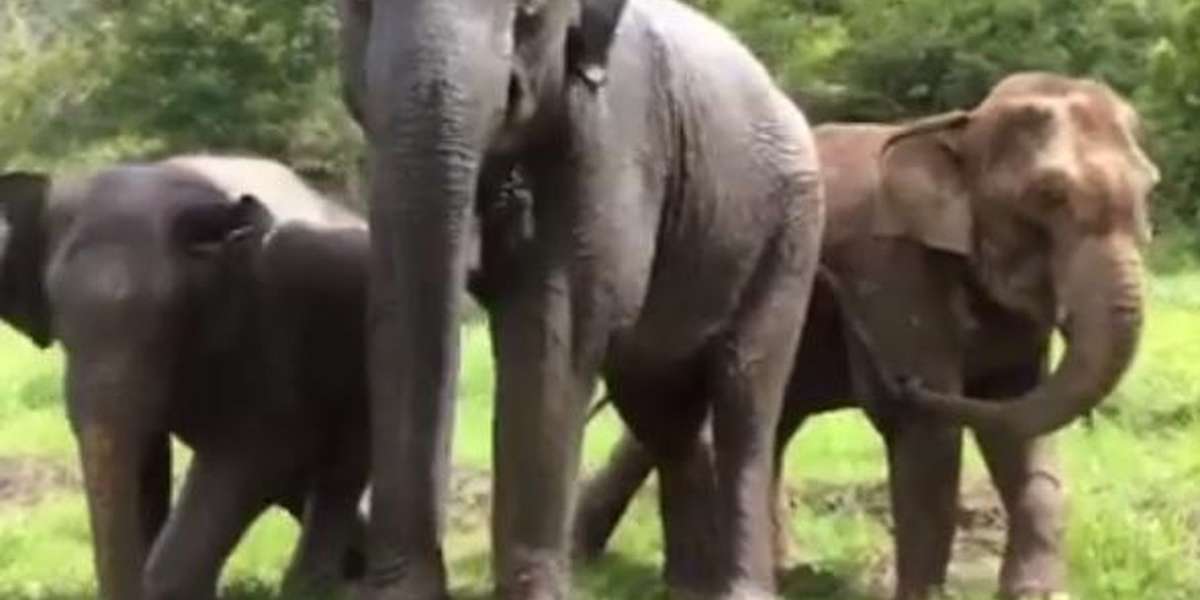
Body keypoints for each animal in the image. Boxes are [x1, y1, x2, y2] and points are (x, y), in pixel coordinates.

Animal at [0, 156, 372, 600]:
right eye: (62, 333)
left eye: (168, 323)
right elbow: (146, 457)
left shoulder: (274, 325)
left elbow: (260, 449)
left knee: (338, 466)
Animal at [337, 0, 825, 597]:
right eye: (360, 6)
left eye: (528, 11)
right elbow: (395, 296)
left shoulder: (609, 139)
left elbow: (553, 323)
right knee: (661, 412)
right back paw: (686, 588)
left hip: (791, 232)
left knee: (745, 399)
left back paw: (739, 589)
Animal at [572, 72, 1158, 600]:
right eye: (1049, 196)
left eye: (1150, 188)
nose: (902, 381)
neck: (961, 131)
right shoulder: (889, 269)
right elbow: (927, 435)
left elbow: (1019, 422)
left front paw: (1036, 595)